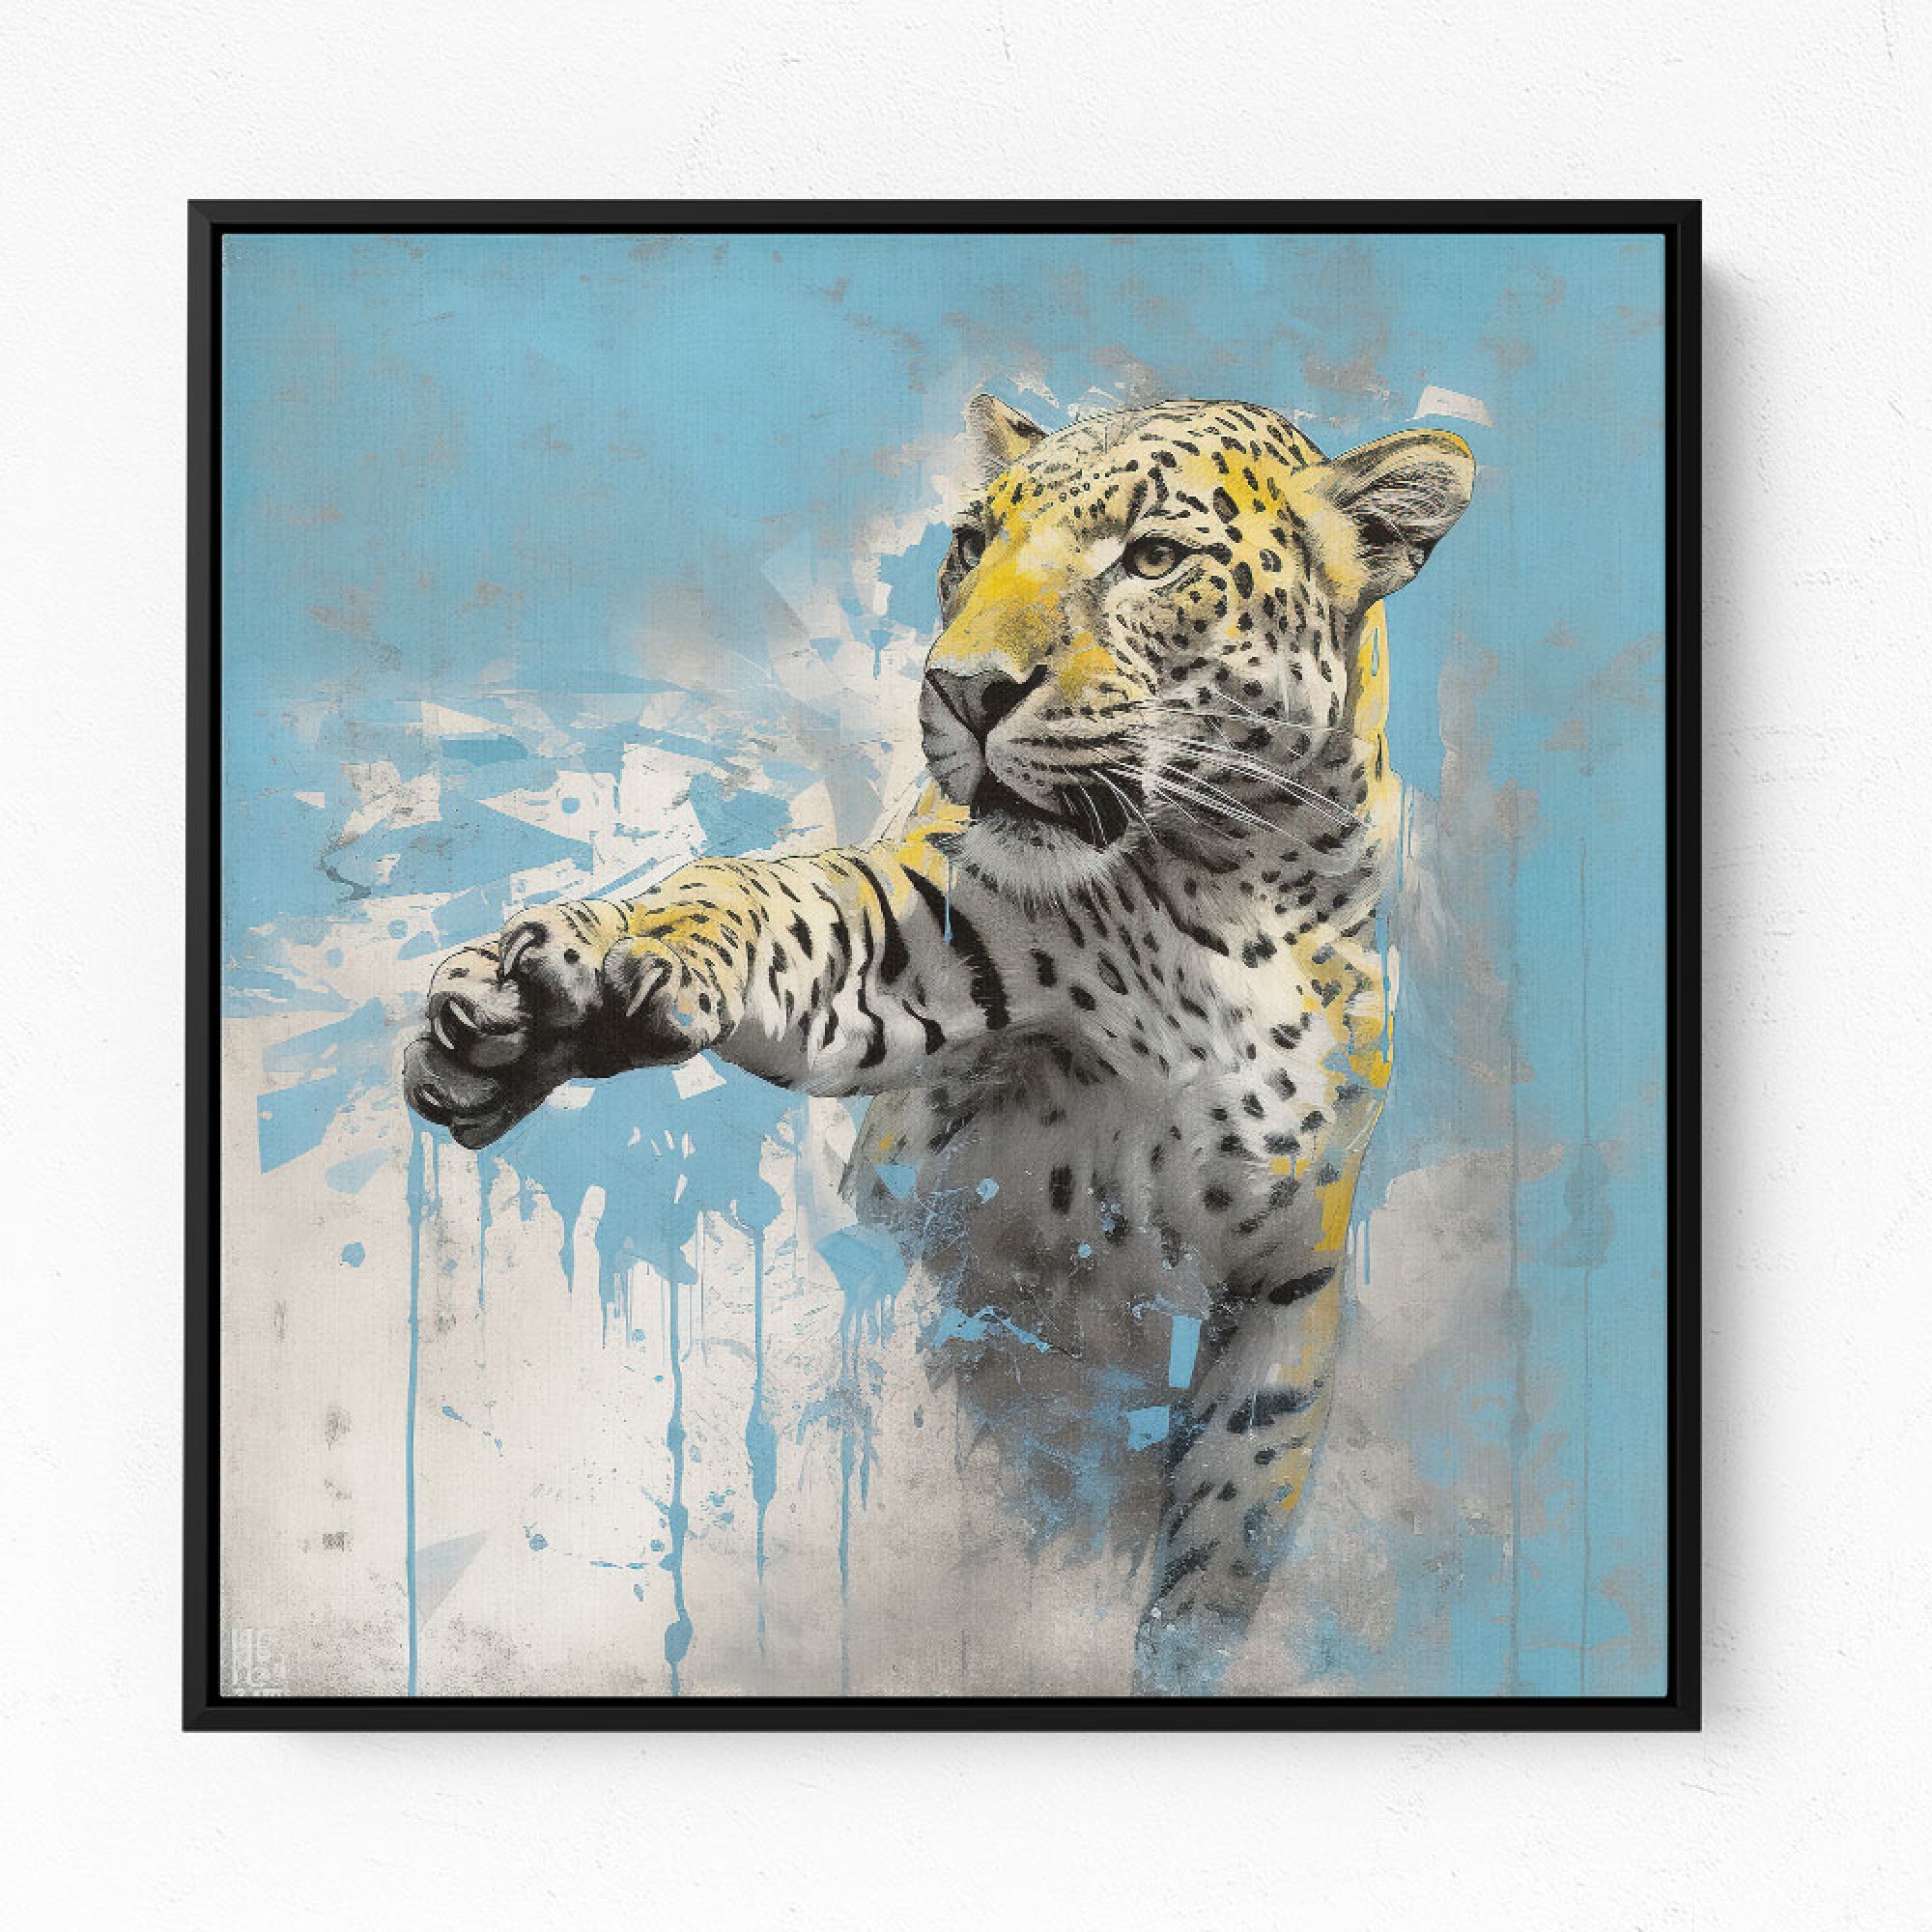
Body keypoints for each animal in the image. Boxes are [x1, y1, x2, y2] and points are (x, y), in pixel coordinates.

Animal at [403, 392, 1474, 1693]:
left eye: (1151, 558)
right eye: (969, 546)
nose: (962, 688)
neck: (1233, 896)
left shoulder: (1282, 1287)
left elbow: (1216, 1544)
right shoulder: (921, 946)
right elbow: (775, 909)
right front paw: (551, 990)